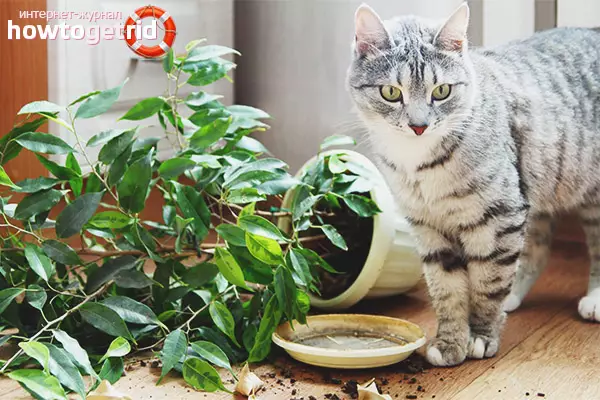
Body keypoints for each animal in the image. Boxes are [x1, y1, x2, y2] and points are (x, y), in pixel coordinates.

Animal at [346, 2, 600, 366]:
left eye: (441, 91)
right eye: (391, 92)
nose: (419, 126)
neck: (420, 163)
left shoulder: (498, 217)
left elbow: (488, 282)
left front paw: (480, 336)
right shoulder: (429, 226)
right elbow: (447, 289)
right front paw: (450, 341)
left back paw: (593, 299)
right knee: (537, 249)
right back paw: (514, 297)